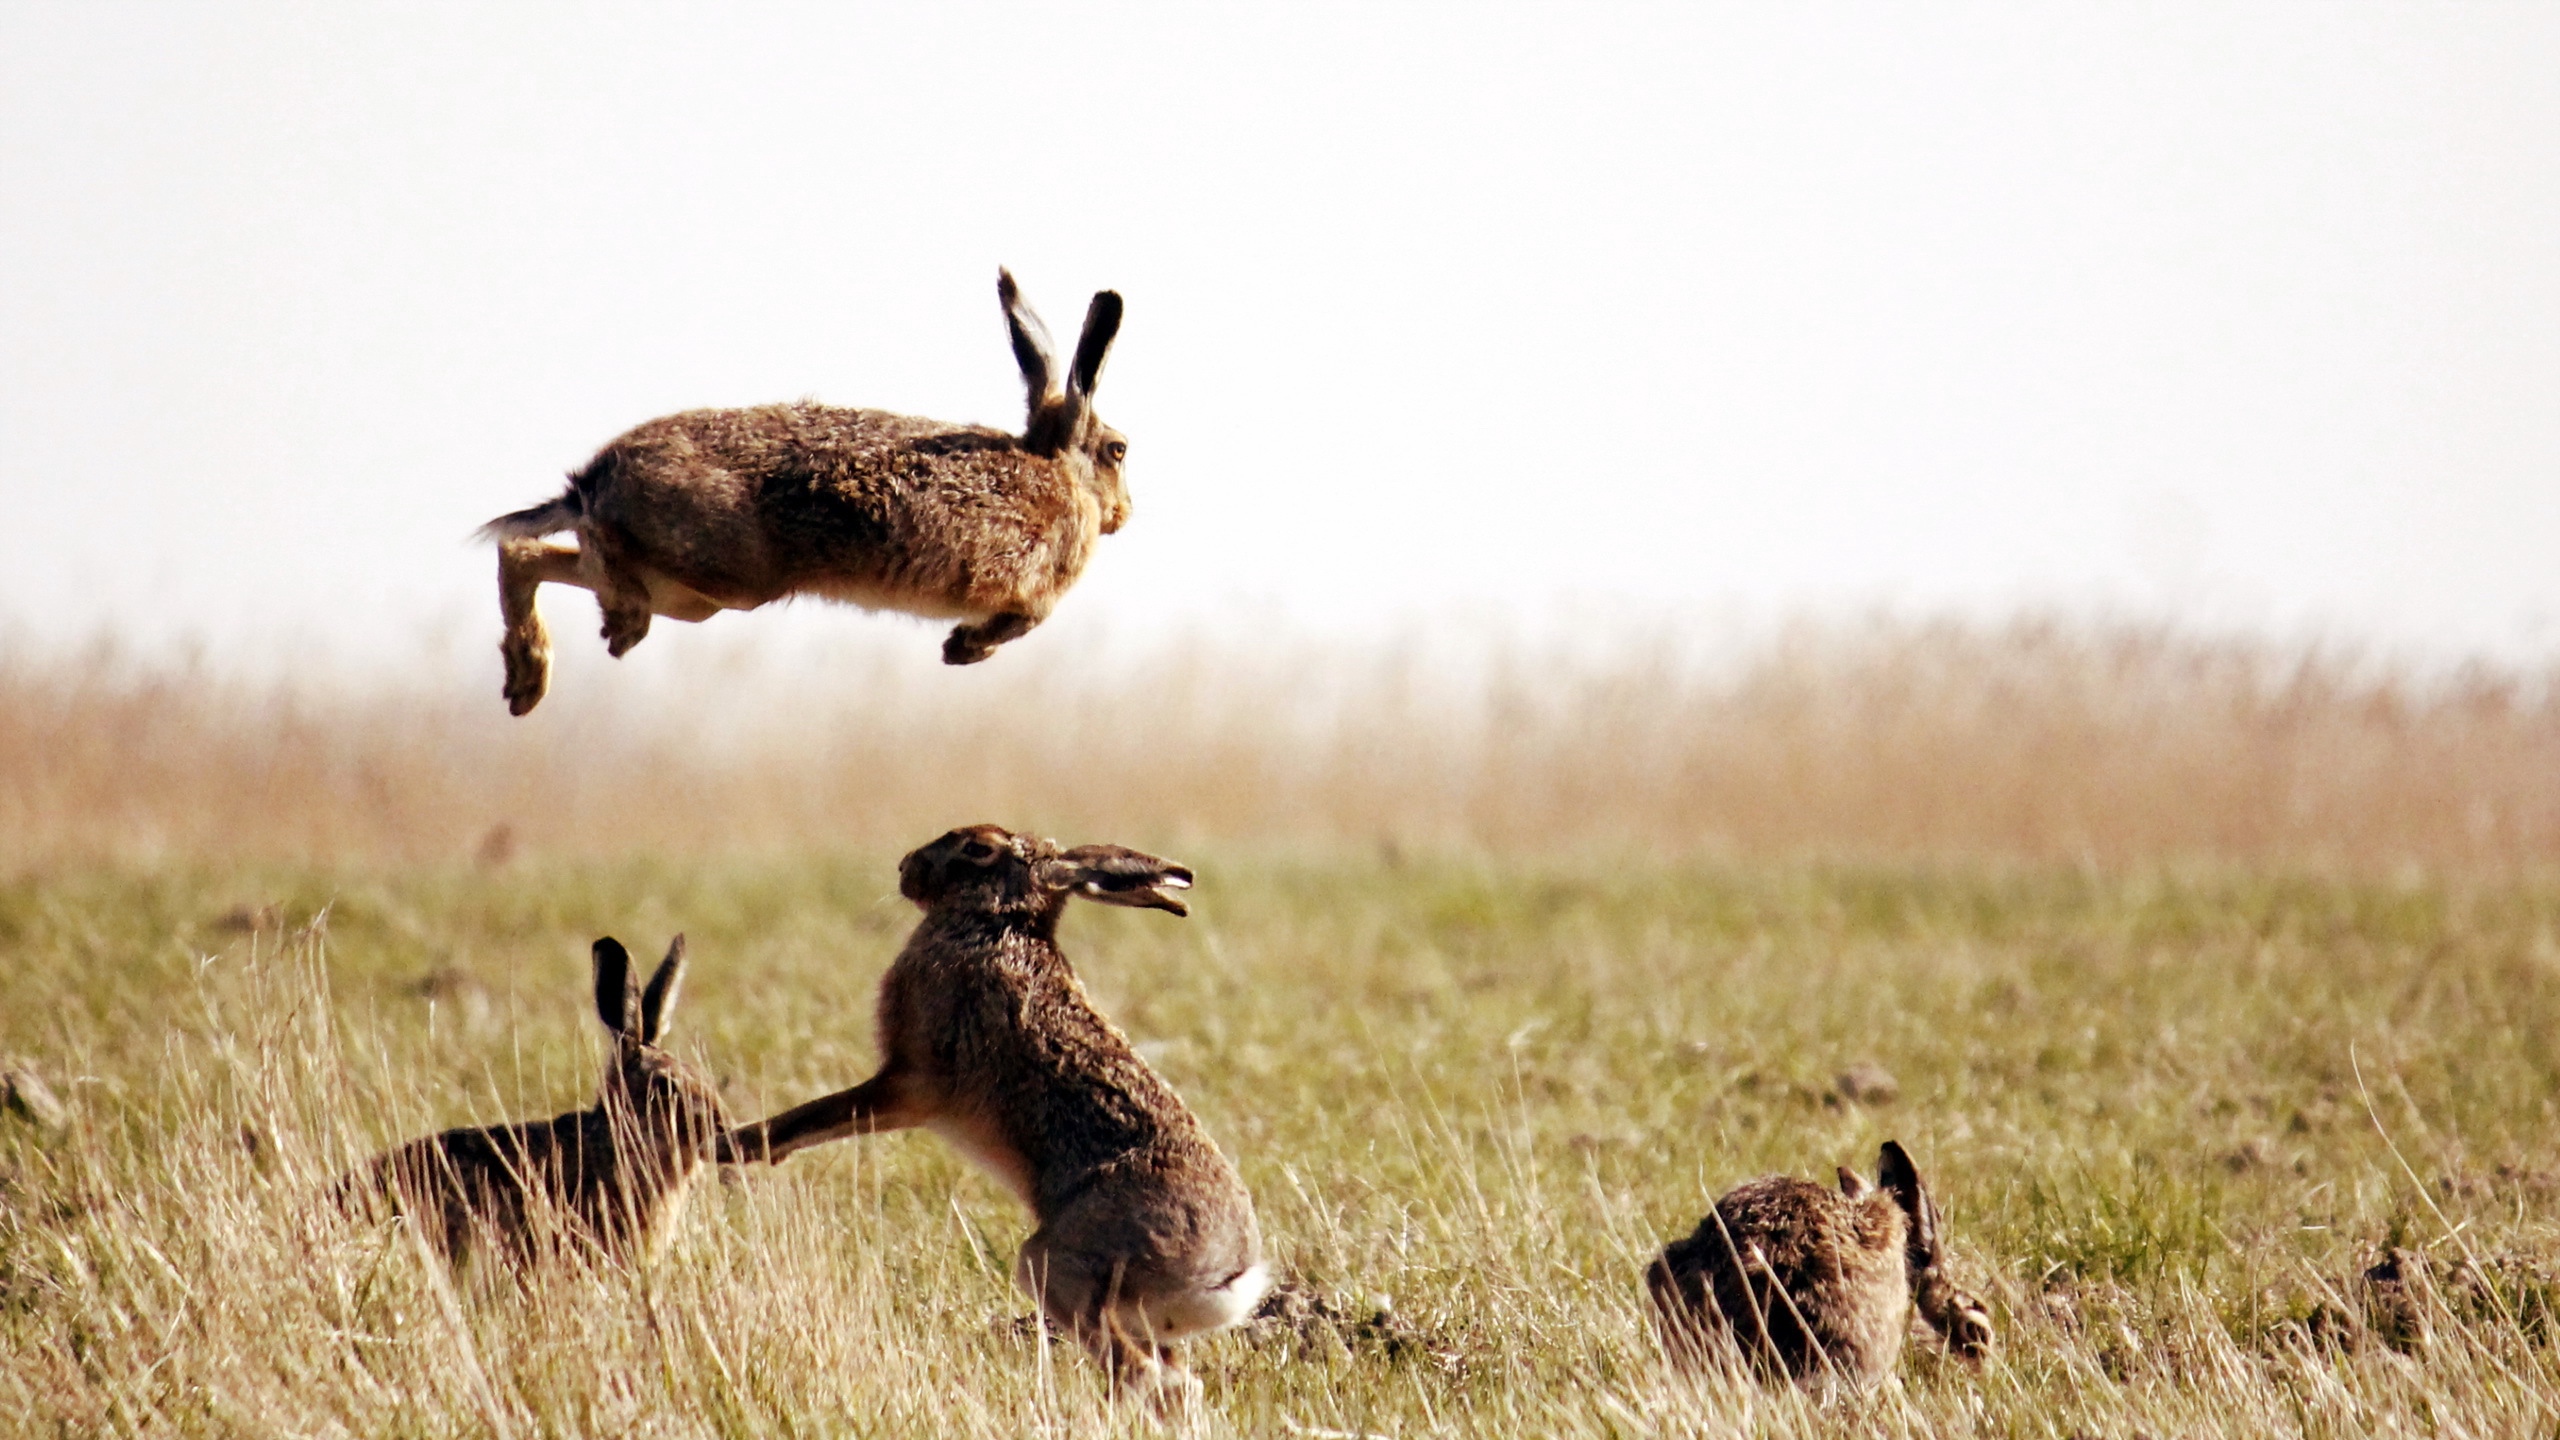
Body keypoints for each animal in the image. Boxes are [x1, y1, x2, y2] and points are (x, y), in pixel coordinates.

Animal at [481, 269, 1129, 715]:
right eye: (1119, 450)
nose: (1123, 513)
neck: (1062, 470)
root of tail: (595, 480)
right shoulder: (1030, 588)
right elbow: (1024, 620)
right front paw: (963, 648)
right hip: (723, 574)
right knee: (571, 562)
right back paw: (614, 630)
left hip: (690, 594)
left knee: (529, 554)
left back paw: (530, 678)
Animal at [721, 825, 1267, 1404]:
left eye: (978, 848)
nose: (906, 868)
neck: (997, 923)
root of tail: (1229, 1274)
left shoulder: (912, 1082)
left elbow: (820, 1114)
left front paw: (730, 1145)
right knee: (1173, 1379)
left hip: (1061, 1271)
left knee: (1143, 1374)